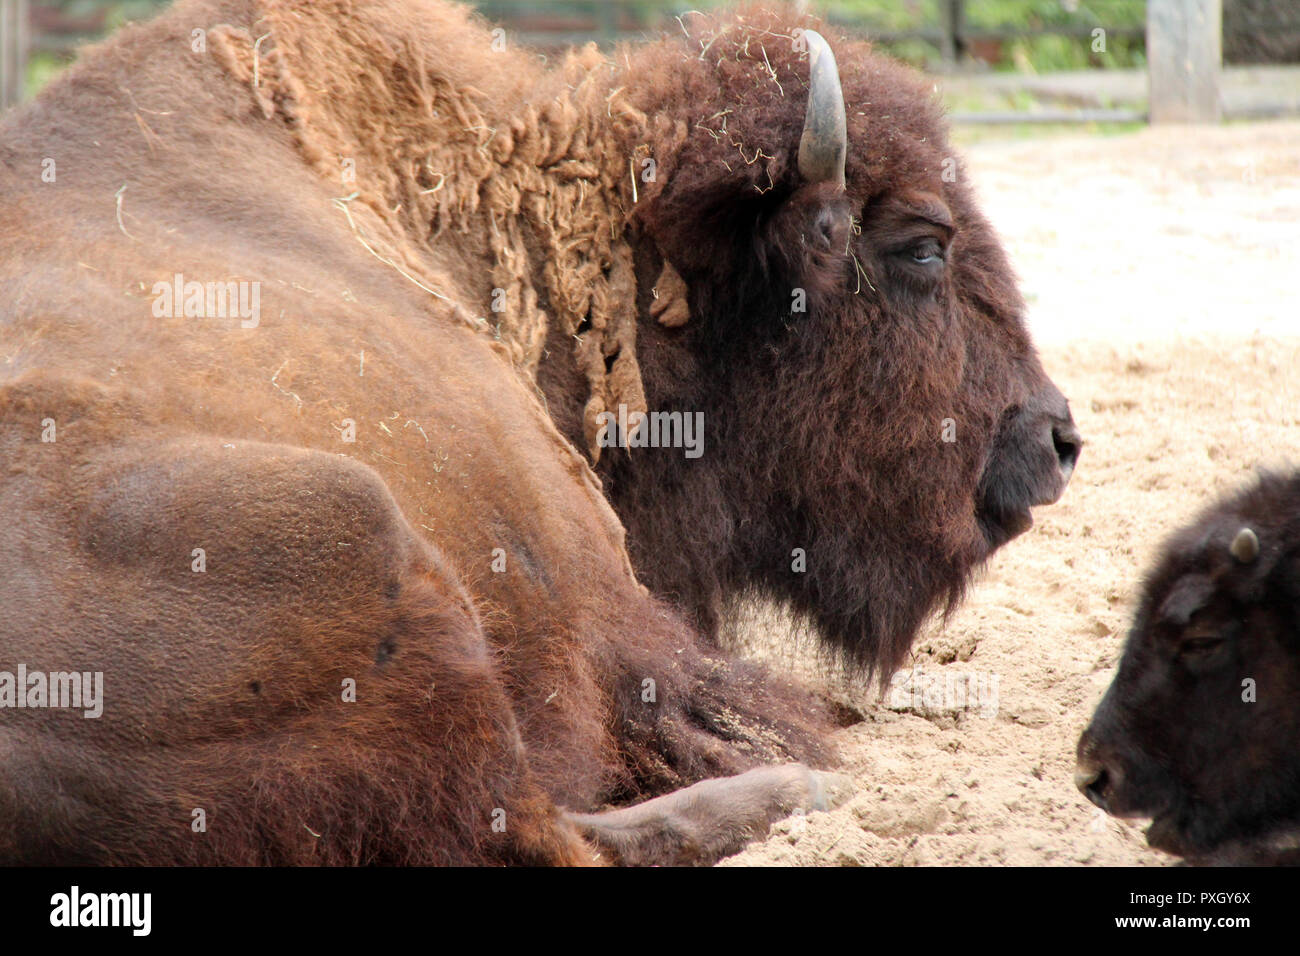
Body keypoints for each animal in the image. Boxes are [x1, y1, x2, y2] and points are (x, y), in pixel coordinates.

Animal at [0, 0, 1077, 864]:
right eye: (923, 246)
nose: (1055, 439)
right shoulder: (605, 601)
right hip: (355, 525)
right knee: (536, 828)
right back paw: (797, 793)